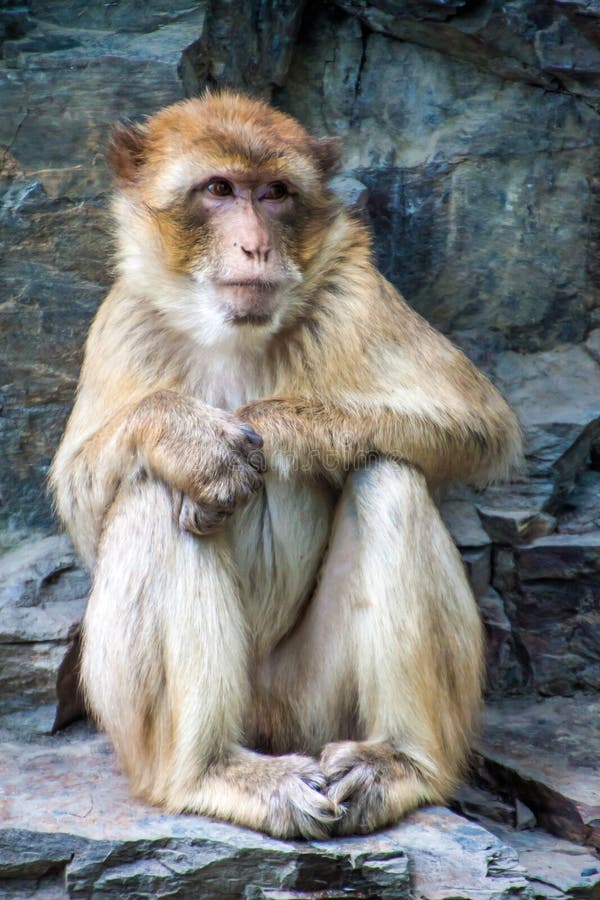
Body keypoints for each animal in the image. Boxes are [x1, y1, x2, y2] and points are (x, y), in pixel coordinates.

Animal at [50, 91, 523, 839]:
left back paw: (402, 763)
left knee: (387, 473)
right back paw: (208, 771)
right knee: (150, 489)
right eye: (219, 190)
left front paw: (274, 426)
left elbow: (476, 421)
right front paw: (187, 439)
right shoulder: (126, 317)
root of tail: (270, 726)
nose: (255, 245)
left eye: (274, 193)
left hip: (312, 706)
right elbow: (79, 499)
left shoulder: (353, 289)